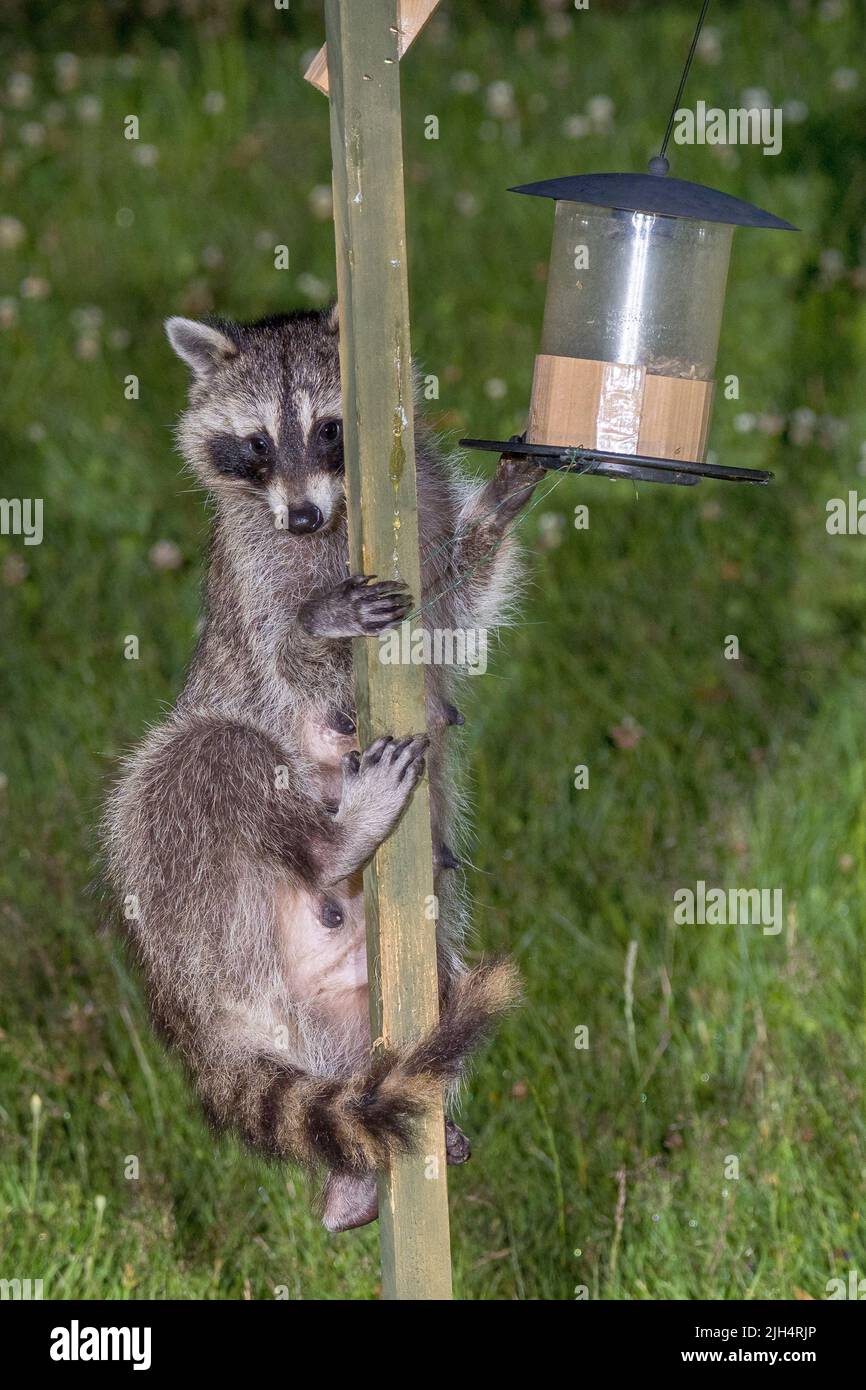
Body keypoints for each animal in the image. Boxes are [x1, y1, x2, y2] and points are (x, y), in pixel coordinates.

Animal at [102, 307, 542, 1231]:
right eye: (256, 444)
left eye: (332, 429)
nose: (304, 520)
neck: (339, 514)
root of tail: (198, 1020)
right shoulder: (257, 567)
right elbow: (285, 654)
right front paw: (320, 625)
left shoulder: (418, 514)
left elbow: (457, 606)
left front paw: (498, 506)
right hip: (191, 905)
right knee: (197, 757)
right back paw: (326, 842)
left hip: (364, 997)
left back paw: (358, 1181)